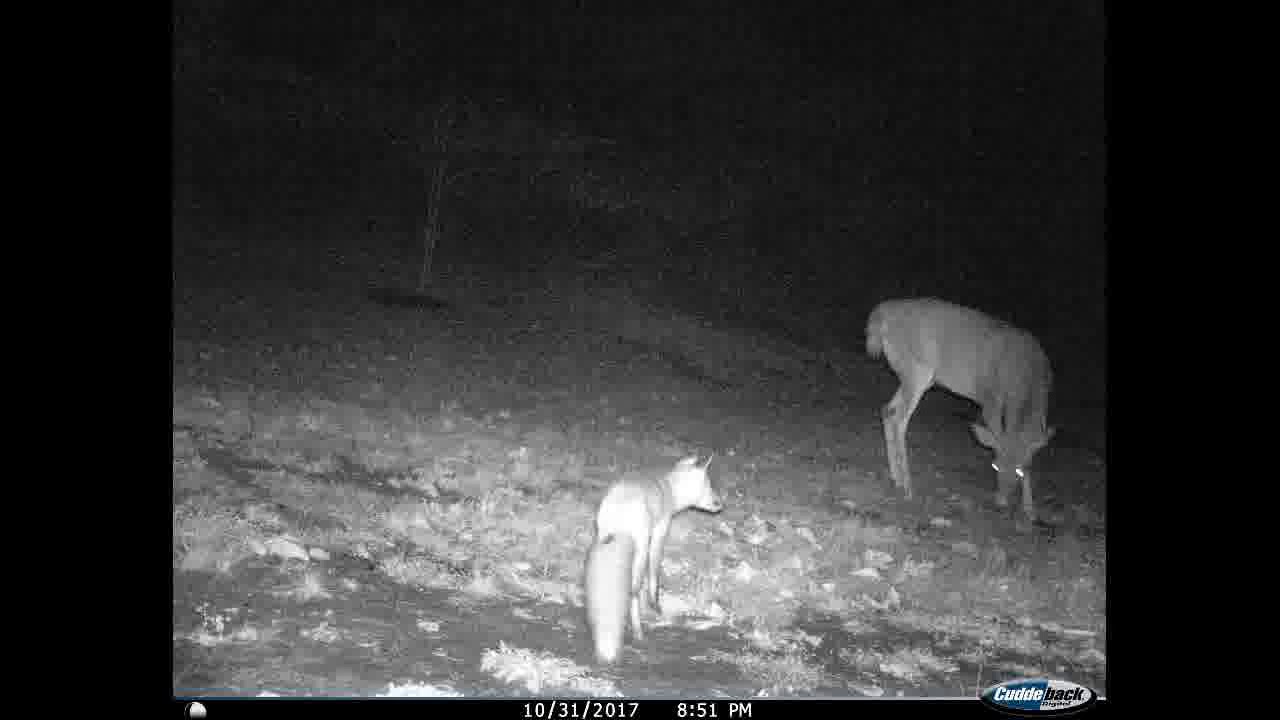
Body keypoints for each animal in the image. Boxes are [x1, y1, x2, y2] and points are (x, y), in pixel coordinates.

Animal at [584, 454, 723, 664]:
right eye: (707, 484)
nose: (719, 504)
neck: (669, 489)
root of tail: (619, 509)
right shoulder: (659, 532)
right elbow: (655, 572)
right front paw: (655, 604)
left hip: (600, 539)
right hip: (639, 549)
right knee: (633, 590)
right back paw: (638, 632)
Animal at [866, 298, 1054, 521]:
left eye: (1019, 472)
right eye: (995, 465)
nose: (1000, 502)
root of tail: (881, 313)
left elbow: (1030, 451)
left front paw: (1030, 509)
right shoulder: (990, 397)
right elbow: (996, 434)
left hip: (913, 375)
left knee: (887, 410)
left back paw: (896, 478)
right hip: (918, 370)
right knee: (899, 418)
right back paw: (908, 487)